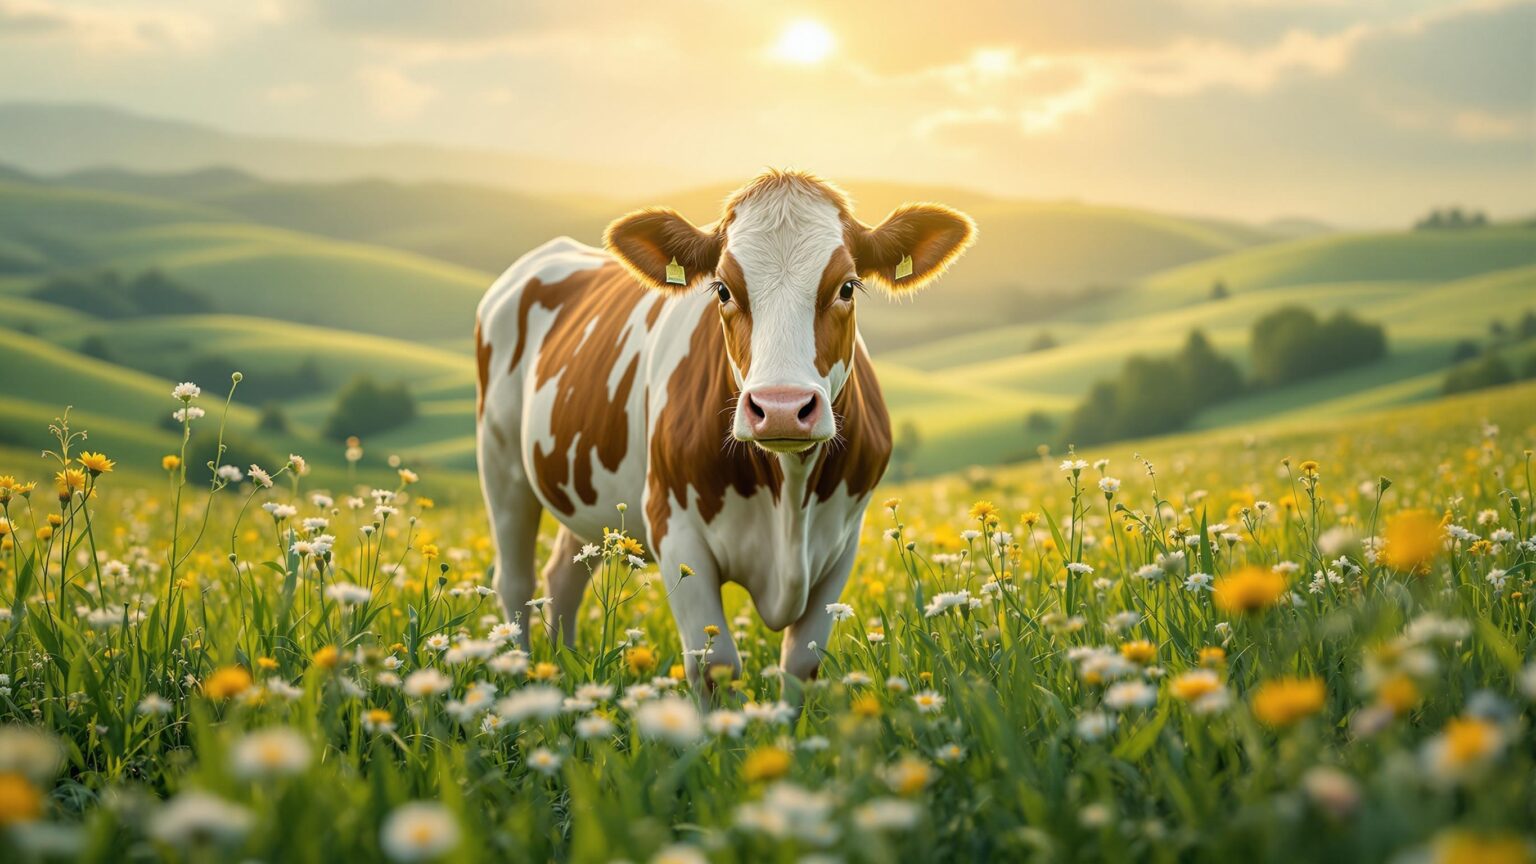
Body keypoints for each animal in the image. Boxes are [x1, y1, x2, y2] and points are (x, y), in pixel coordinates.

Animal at [474, 170, 974, 686]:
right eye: (722, 290)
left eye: (848, 287)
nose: (780, 407)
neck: (788, 501)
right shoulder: (675, 529)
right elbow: (714, 665)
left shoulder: (843, 542)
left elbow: (802, 663)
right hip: (500, 460)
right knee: (515, 581)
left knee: (563, 578)